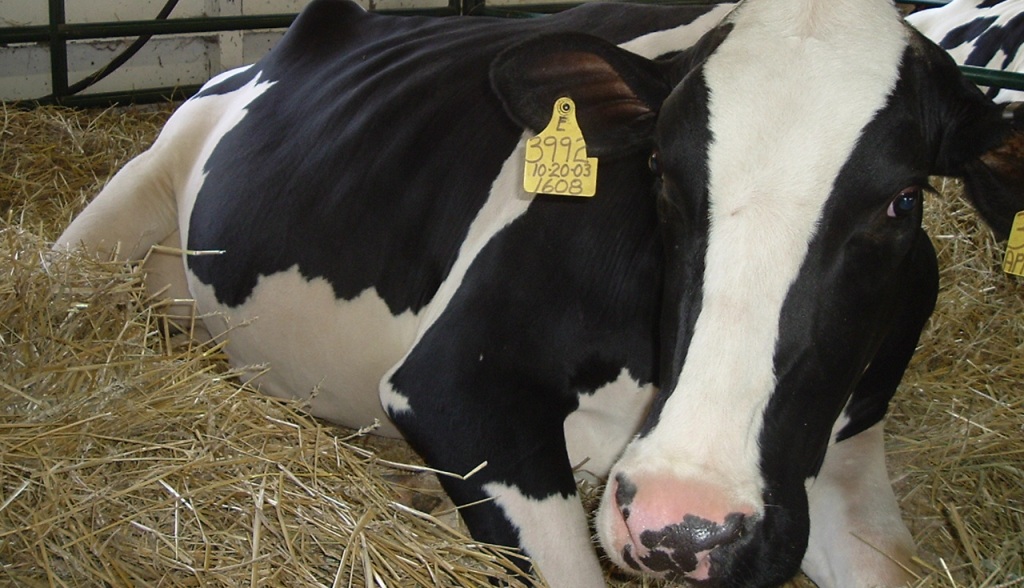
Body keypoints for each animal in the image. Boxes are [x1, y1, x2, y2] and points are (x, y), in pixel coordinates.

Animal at [53, 0, 1024, 586]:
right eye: (662, 169)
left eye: (903, 201)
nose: (684, 523)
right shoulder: (454, 385)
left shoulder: (847, 450)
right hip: (129, 193)